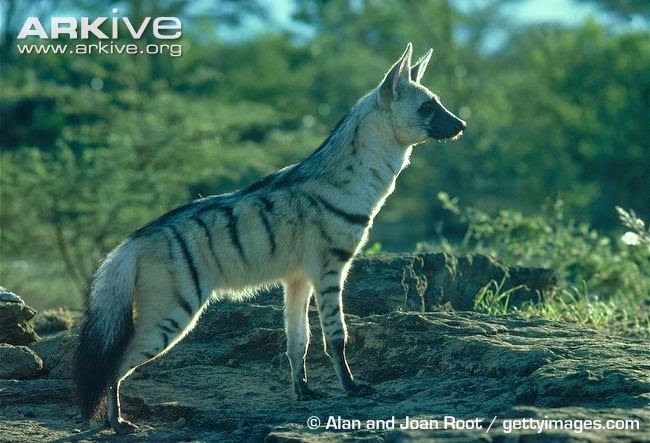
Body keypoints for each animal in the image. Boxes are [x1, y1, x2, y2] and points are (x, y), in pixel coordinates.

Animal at [73, 42, 466, 434]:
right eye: (427, 107)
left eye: (438, 102)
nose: (462, 124)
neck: (354, 182)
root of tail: (131, 243)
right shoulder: (330, 268)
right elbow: (336, 335)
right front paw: (352, 388)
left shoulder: (298, 278)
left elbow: (298, 340)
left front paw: (303, 392)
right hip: (173, 308)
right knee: (114, 362)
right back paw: (118, 422)